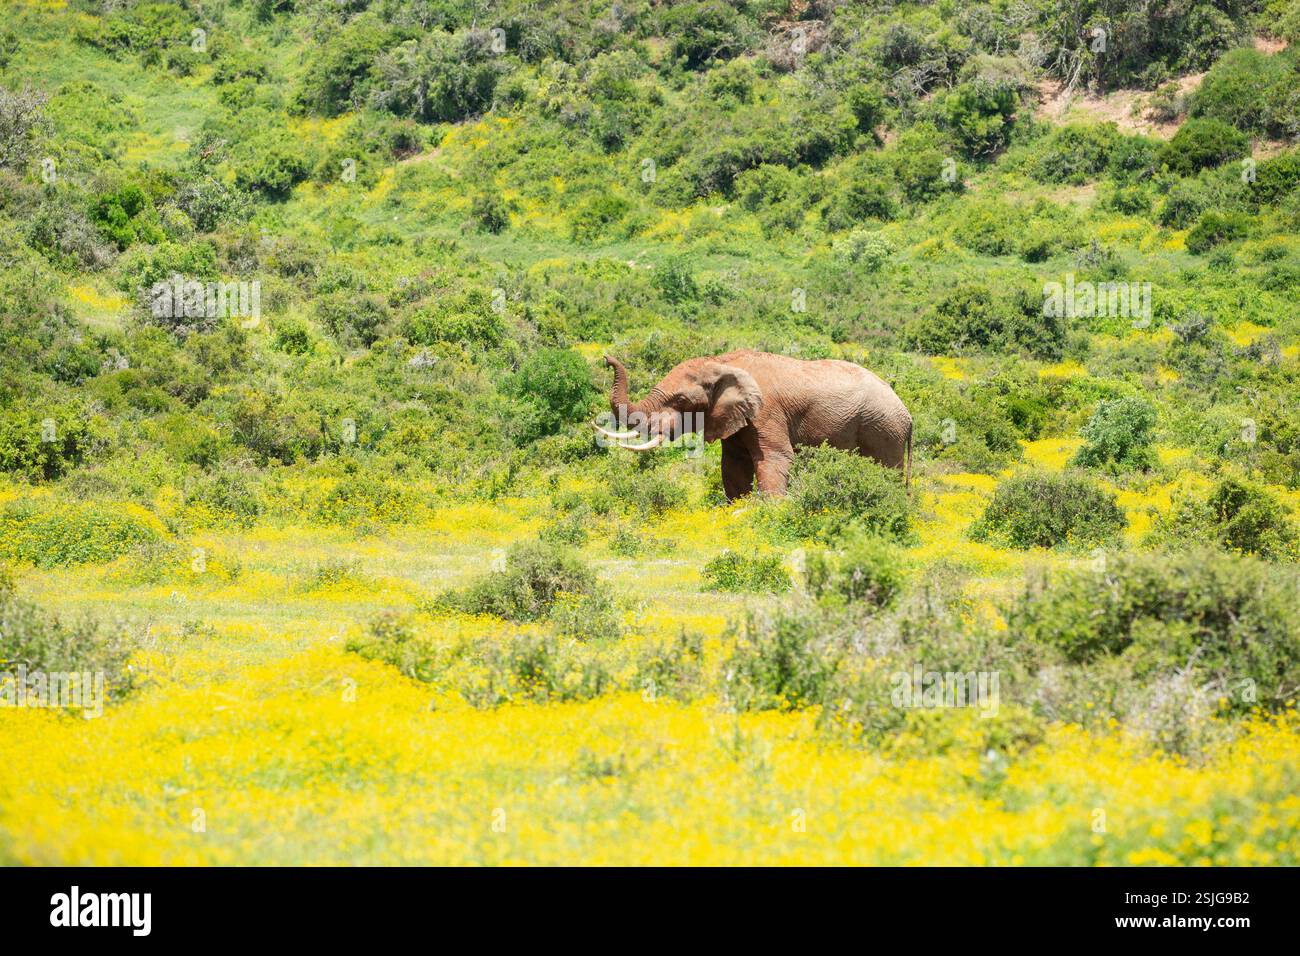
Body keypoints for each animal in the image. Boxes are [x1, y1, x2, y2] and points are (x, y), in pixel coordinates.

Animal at [593, 350, 912, 500]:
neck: (721, 362)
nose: (606, 358)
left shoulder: (767, 413)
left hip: (882, 429)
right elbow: (733, 464)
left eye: (681, 400)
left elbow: (775, 458)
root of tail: (908, 415)